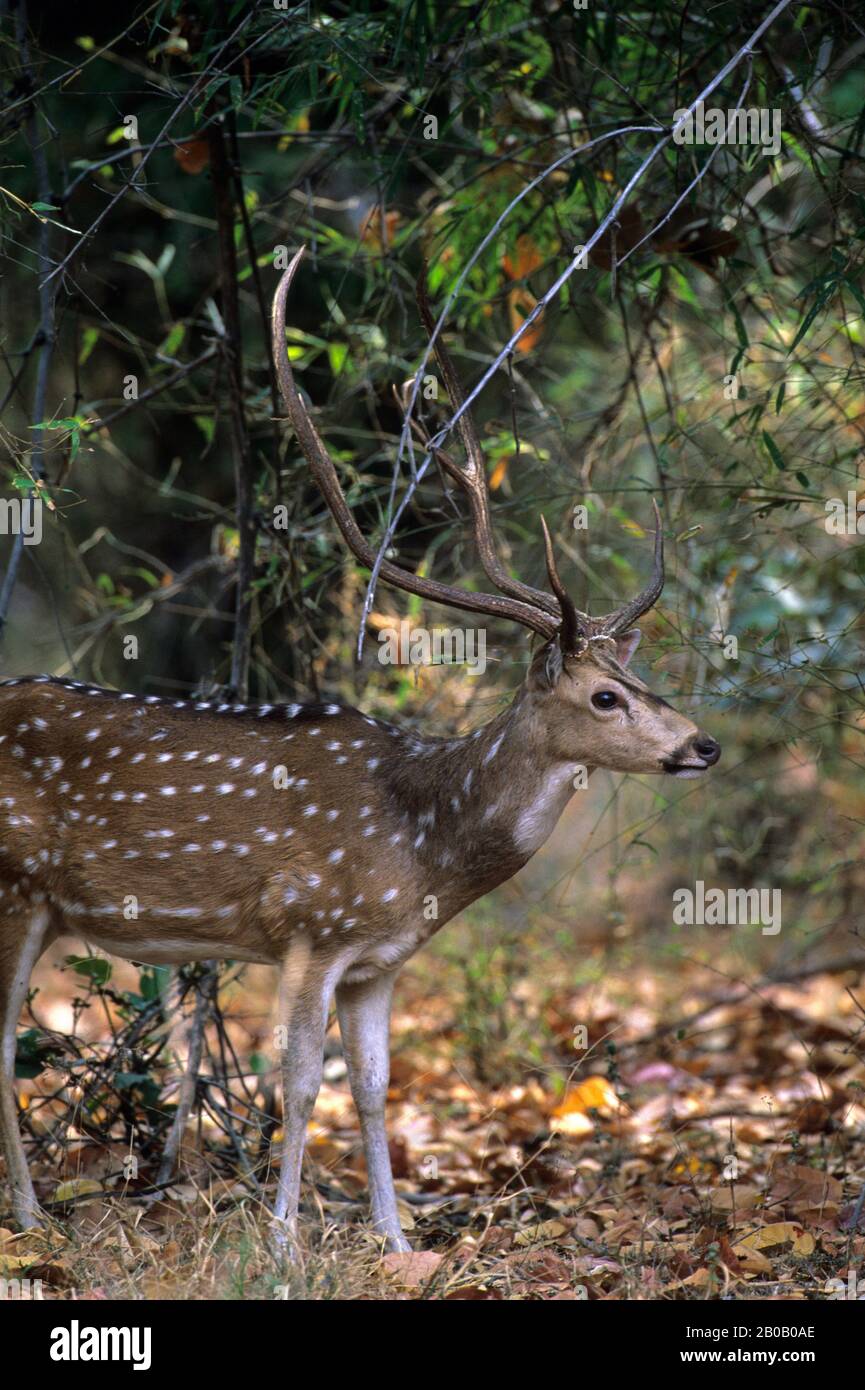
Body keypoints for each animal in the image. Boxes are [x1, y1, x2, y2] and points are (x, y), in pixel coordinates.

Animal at [0, 246, 720, 1253]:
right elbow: (303, 1087)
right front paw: (281, 1241)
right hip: (15, 885)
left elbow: (376, 1090)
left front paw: (398, 1240)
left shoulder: (377, 963)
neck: (420, 846)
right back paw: (32, 1217)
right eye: (604, 696)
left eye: (642, 679)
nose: (703, 745)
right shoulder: (308, 926)